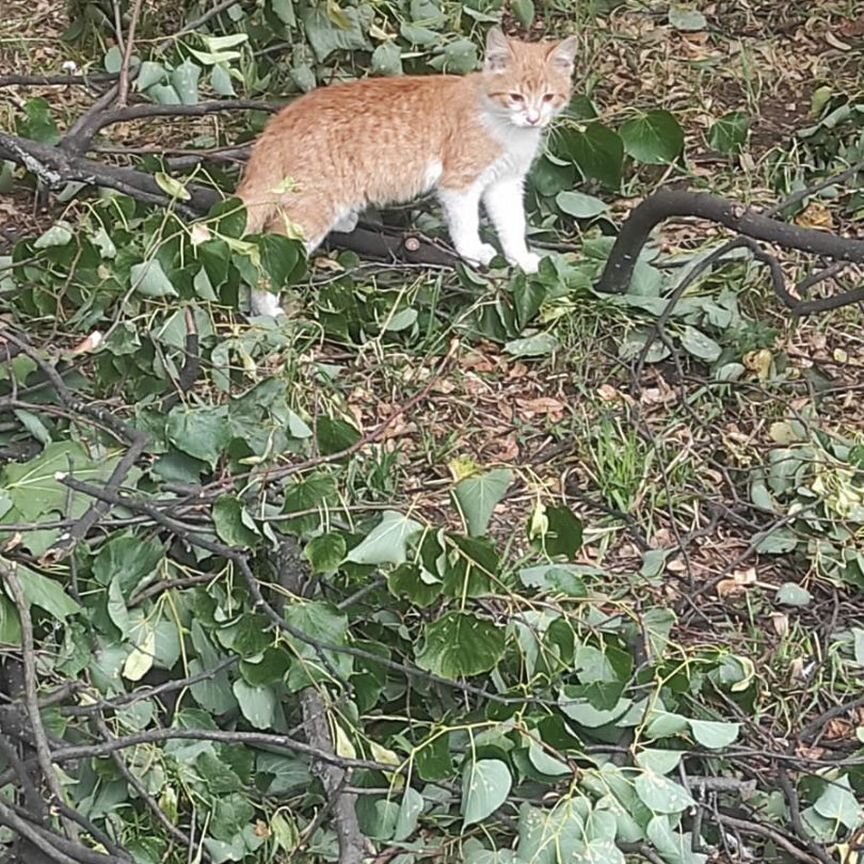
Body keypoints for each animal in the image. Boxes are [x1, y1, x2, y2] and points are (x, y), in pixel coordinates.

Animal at [235, 26, 580, 318]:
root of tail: (282, 119)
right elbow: (465, 223)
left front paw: (521, 259)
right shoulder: (459, 181)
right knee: (270, 248)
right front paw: (472, 252)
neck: (504, 127)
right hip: (310, 210)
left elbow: (513, 224)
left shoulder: (506, 183)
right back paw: (265, 310)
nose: (533, 118)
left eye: (548, 97)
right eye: (516, 97)